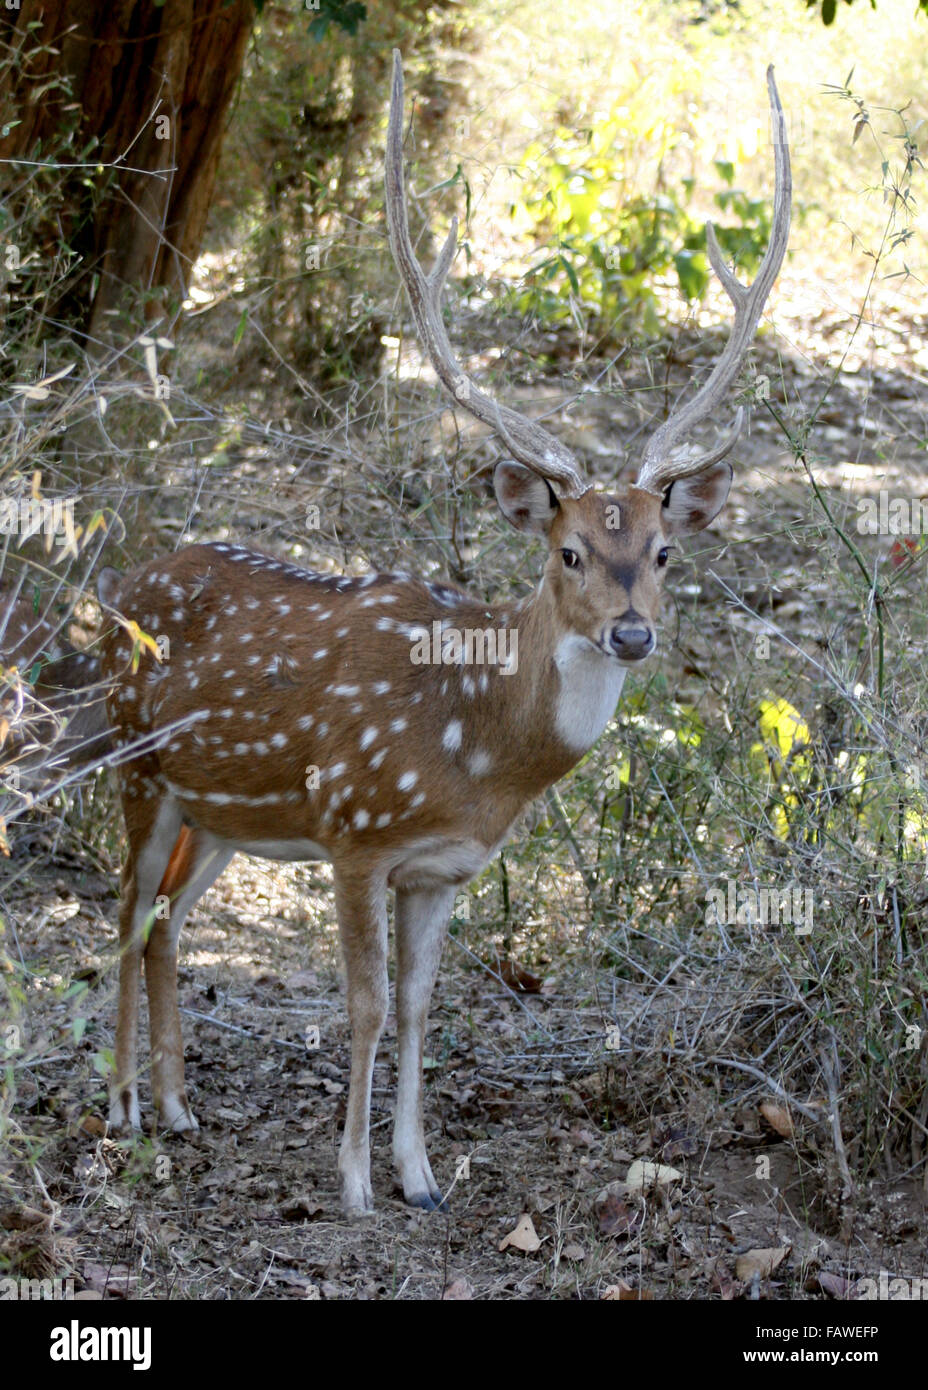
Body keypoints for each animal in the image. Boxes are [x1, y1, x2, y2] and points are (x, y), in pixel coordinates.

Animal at [96, 52, 790, 1217]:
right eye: (567, 551)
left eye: (663, 552)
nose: (632, 635)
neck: (476, 749)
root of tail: (122, 582)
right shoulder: (354, 829)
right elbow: (367, 1006)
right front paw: (354, 1185)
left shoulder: (443, 868)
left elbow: (425, 1005)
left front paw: (420, 1176)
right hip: (133, 761)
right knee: (125, 911)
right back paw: (120, 1110)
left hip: (222, 810)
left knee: (169, 923)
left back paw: (182, 1106)